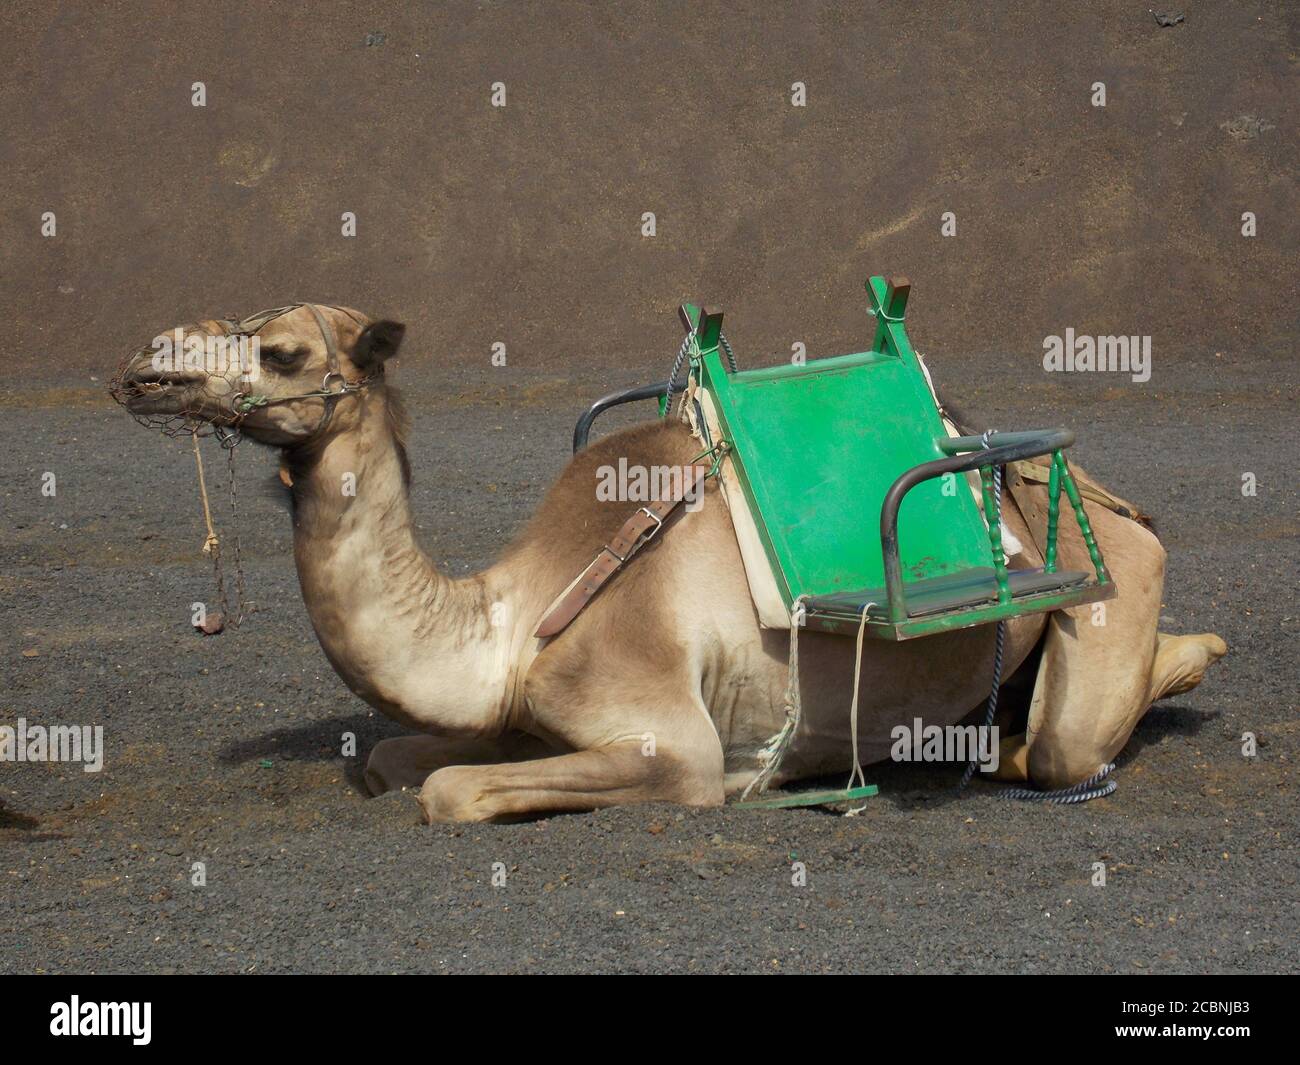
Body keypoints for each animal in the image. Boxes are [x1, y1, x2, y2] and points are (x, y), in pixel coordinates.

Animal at [112, 304, 1227, 822]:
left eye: (286, 352)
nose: (146, 362)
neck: (509, 619)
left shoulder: (665, 738)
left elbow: (450, 790)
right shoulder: (523, 712)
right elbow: (392, 763)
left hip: (1113, 581)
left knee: (1066, 746)